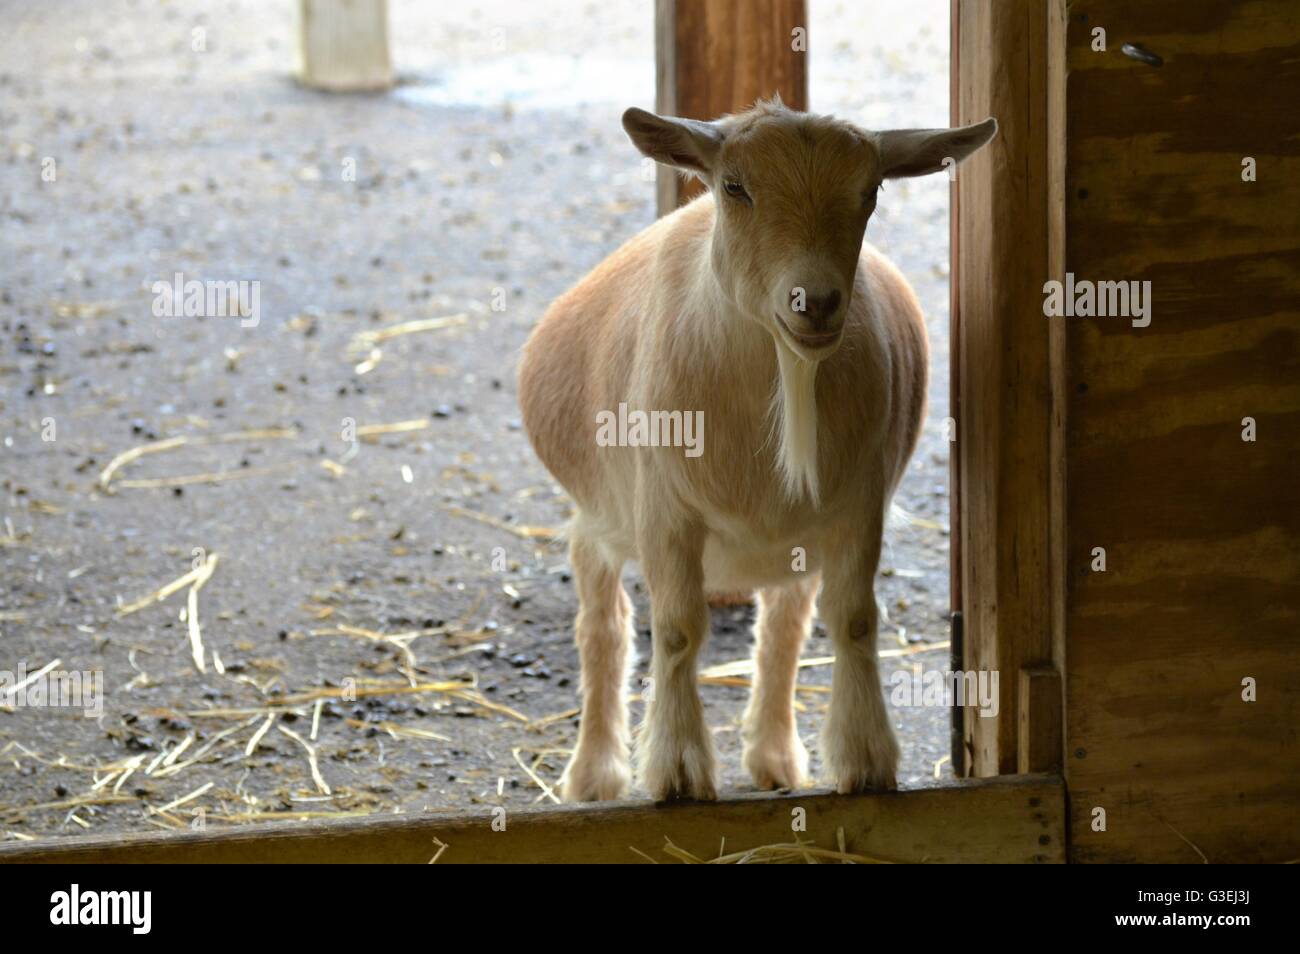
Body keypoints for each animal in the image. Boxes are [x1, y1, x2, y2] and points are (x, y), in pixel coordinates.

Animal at [518, 98, 996, 801]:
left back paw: (773, 757)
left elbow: (854, 619)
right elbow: (677, 630)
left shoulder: (857, 503)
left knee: (784, 625)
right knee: (603, 624)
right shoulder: (664, 509)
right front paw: (679, 770)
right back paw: (595, 773)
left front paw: (864, 760)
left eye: (871, 190)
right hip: (599, 518)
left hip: (789, 547)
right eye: (735, 187)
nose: (815, 301)